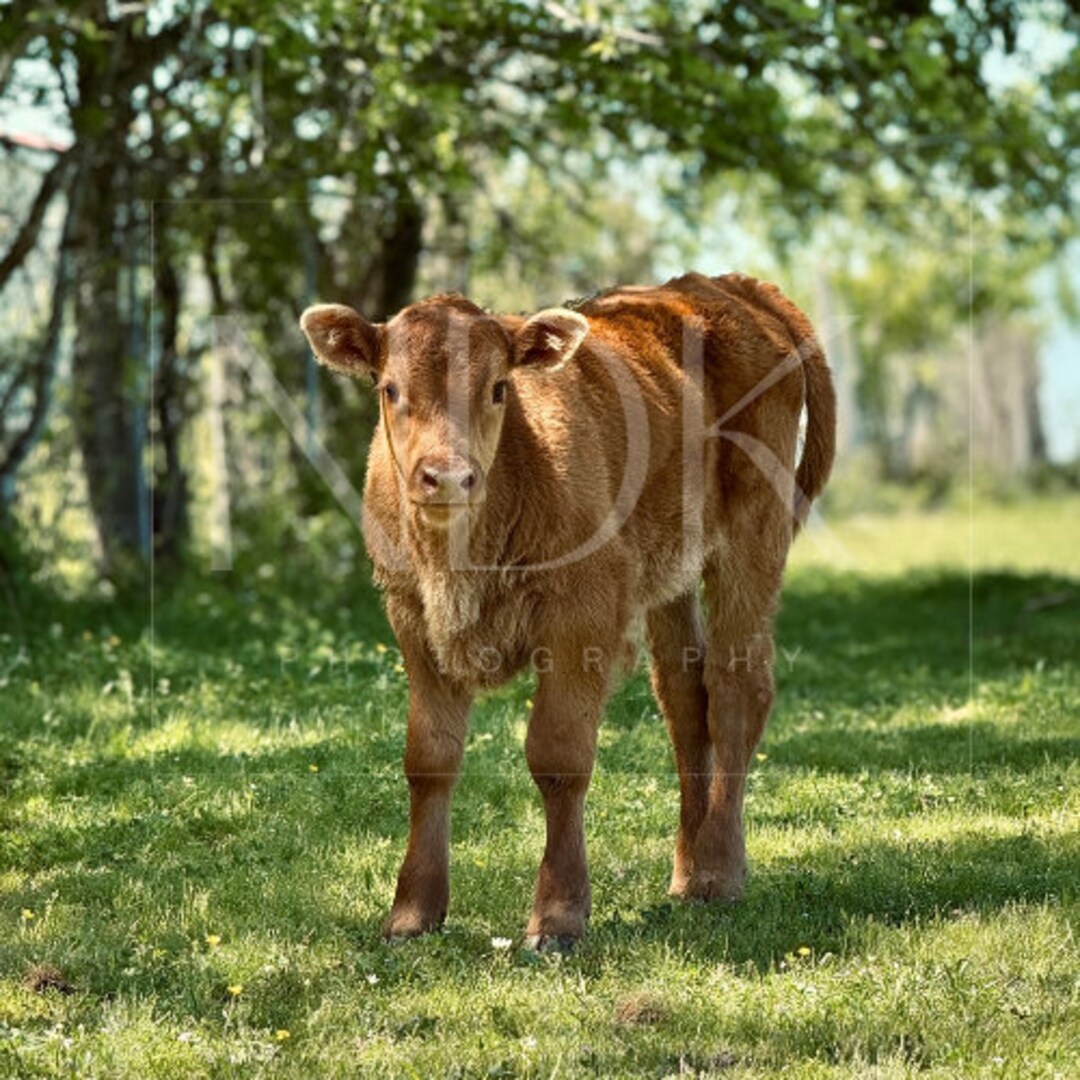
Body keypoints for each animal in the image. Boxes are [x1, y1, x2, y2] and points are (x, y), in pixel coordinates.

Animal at [300, 272, 836, 948]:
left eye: (498, 387)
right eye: (390, 389)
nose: (447, 477)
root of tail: (735, 288)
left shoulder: (584, 611)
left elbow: (557, 754)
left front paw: (557, 917)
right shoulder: (413, 620)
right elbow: (429, 758)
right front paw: (412, 913)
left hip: (752, 541)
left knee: (737, 691)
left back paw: (718, 871)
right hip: (671, 575)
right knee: (685, 697)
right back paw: (688, 873)